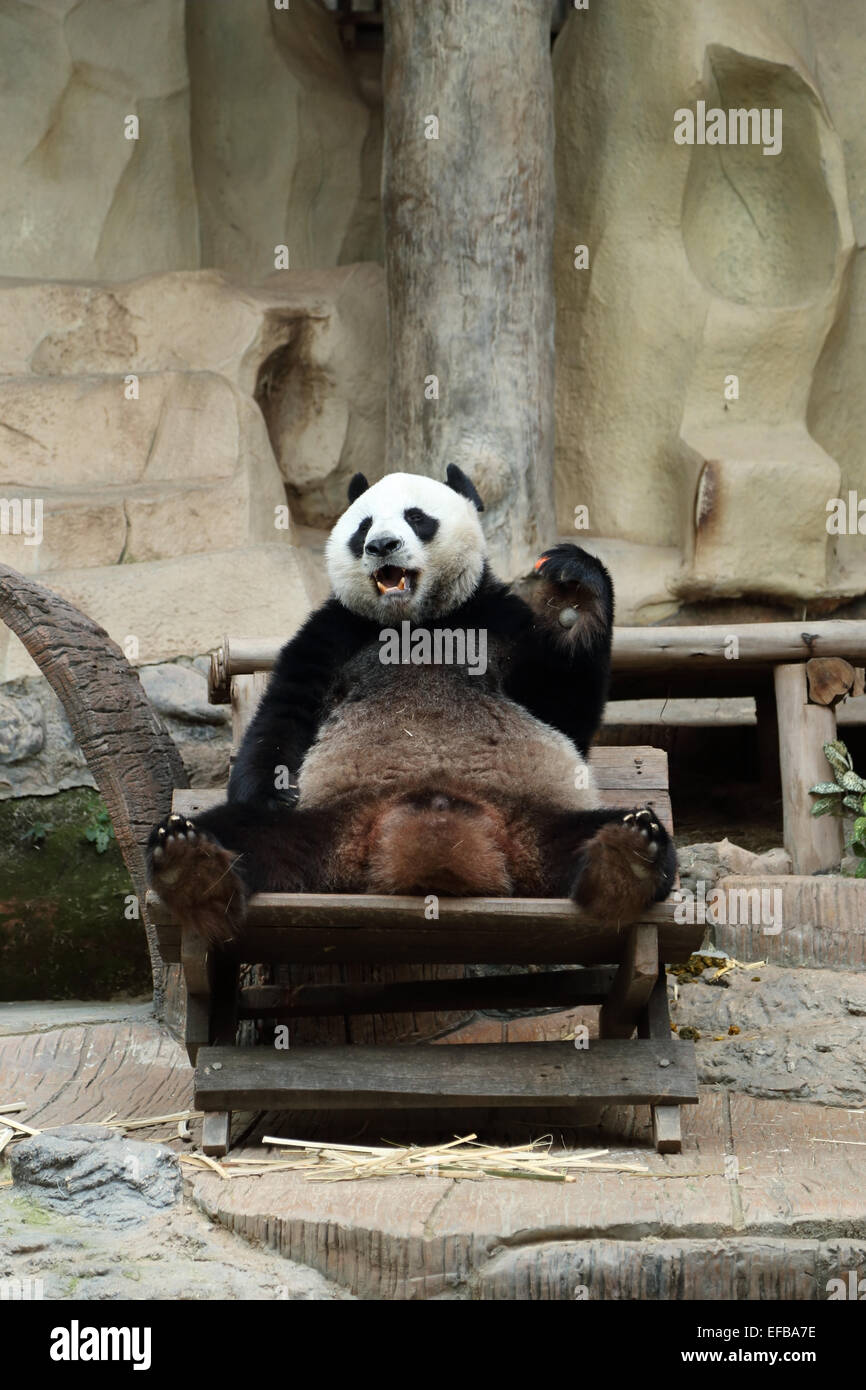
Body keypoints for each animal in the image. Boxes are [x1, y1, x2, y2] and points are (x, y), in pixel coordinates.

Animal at [147, 465, 676, 945]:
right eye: (363, 526)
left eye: (416, 518)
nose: (381, 546)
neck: (415, 624)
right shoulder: (333, 631)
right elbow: (285, 712)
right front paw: (271, 789)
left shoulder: (499, 622)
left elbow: (564, 712)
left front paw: (574, 589)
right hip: (322, 825)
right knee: (241, 832)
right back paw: (189, 865)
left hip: (534, 820)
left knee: (619, 836)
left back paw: (626, 860)